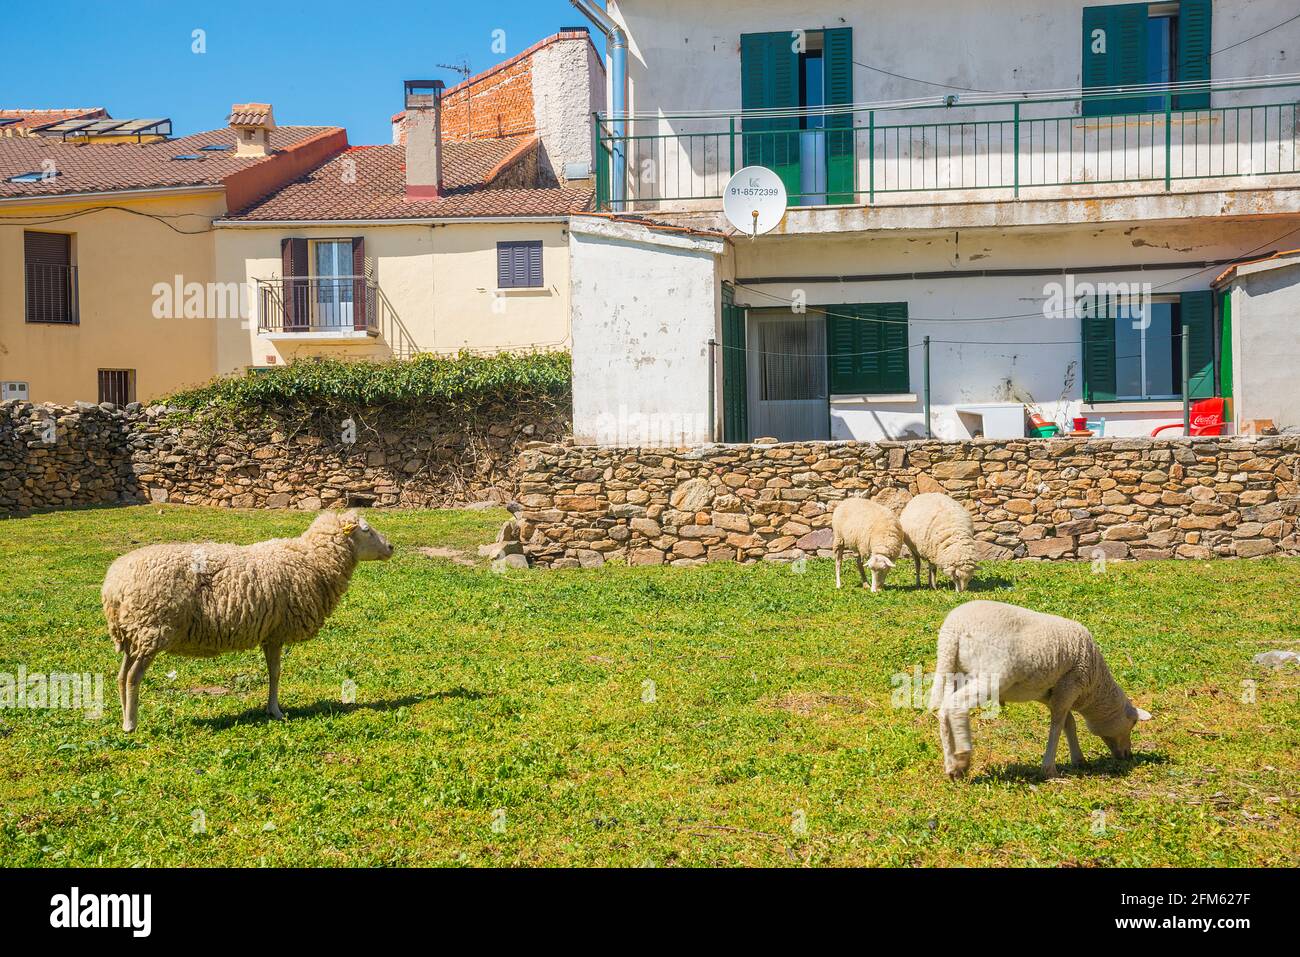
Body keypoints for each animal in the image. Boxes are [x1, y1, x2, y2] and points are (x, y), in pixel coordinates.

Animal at [102, 509, 392, 732]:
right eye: (366, 530)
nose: (391, 547)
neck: (311, 560)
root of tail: (113, 586)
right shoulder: (277, 632)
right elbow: (276, 672)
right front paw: (276, 711)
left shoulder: (270, 632)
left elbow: (272, 671)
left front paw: (271, 708)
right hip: (152, 628)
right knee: (133, 678)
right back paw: (130, 725)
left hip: (133, 634)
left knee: (121, 675)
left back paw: (123, 715)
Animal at [929, 600, 1152, 779]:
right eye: (1133, 723)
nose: (1128, 755)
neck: (1094, 688)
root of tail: (953, 631)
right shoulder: (1070, 684)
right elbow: (1057, 725)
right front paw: (1050, 769)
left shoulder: (1049, 691)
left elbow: (1068, 723)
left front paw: (1078, 759)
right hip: (991, 675)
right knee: (956, 706)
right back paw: (963, 758)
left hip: (954, 672)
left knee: (945, 710)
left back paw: (952, 764)